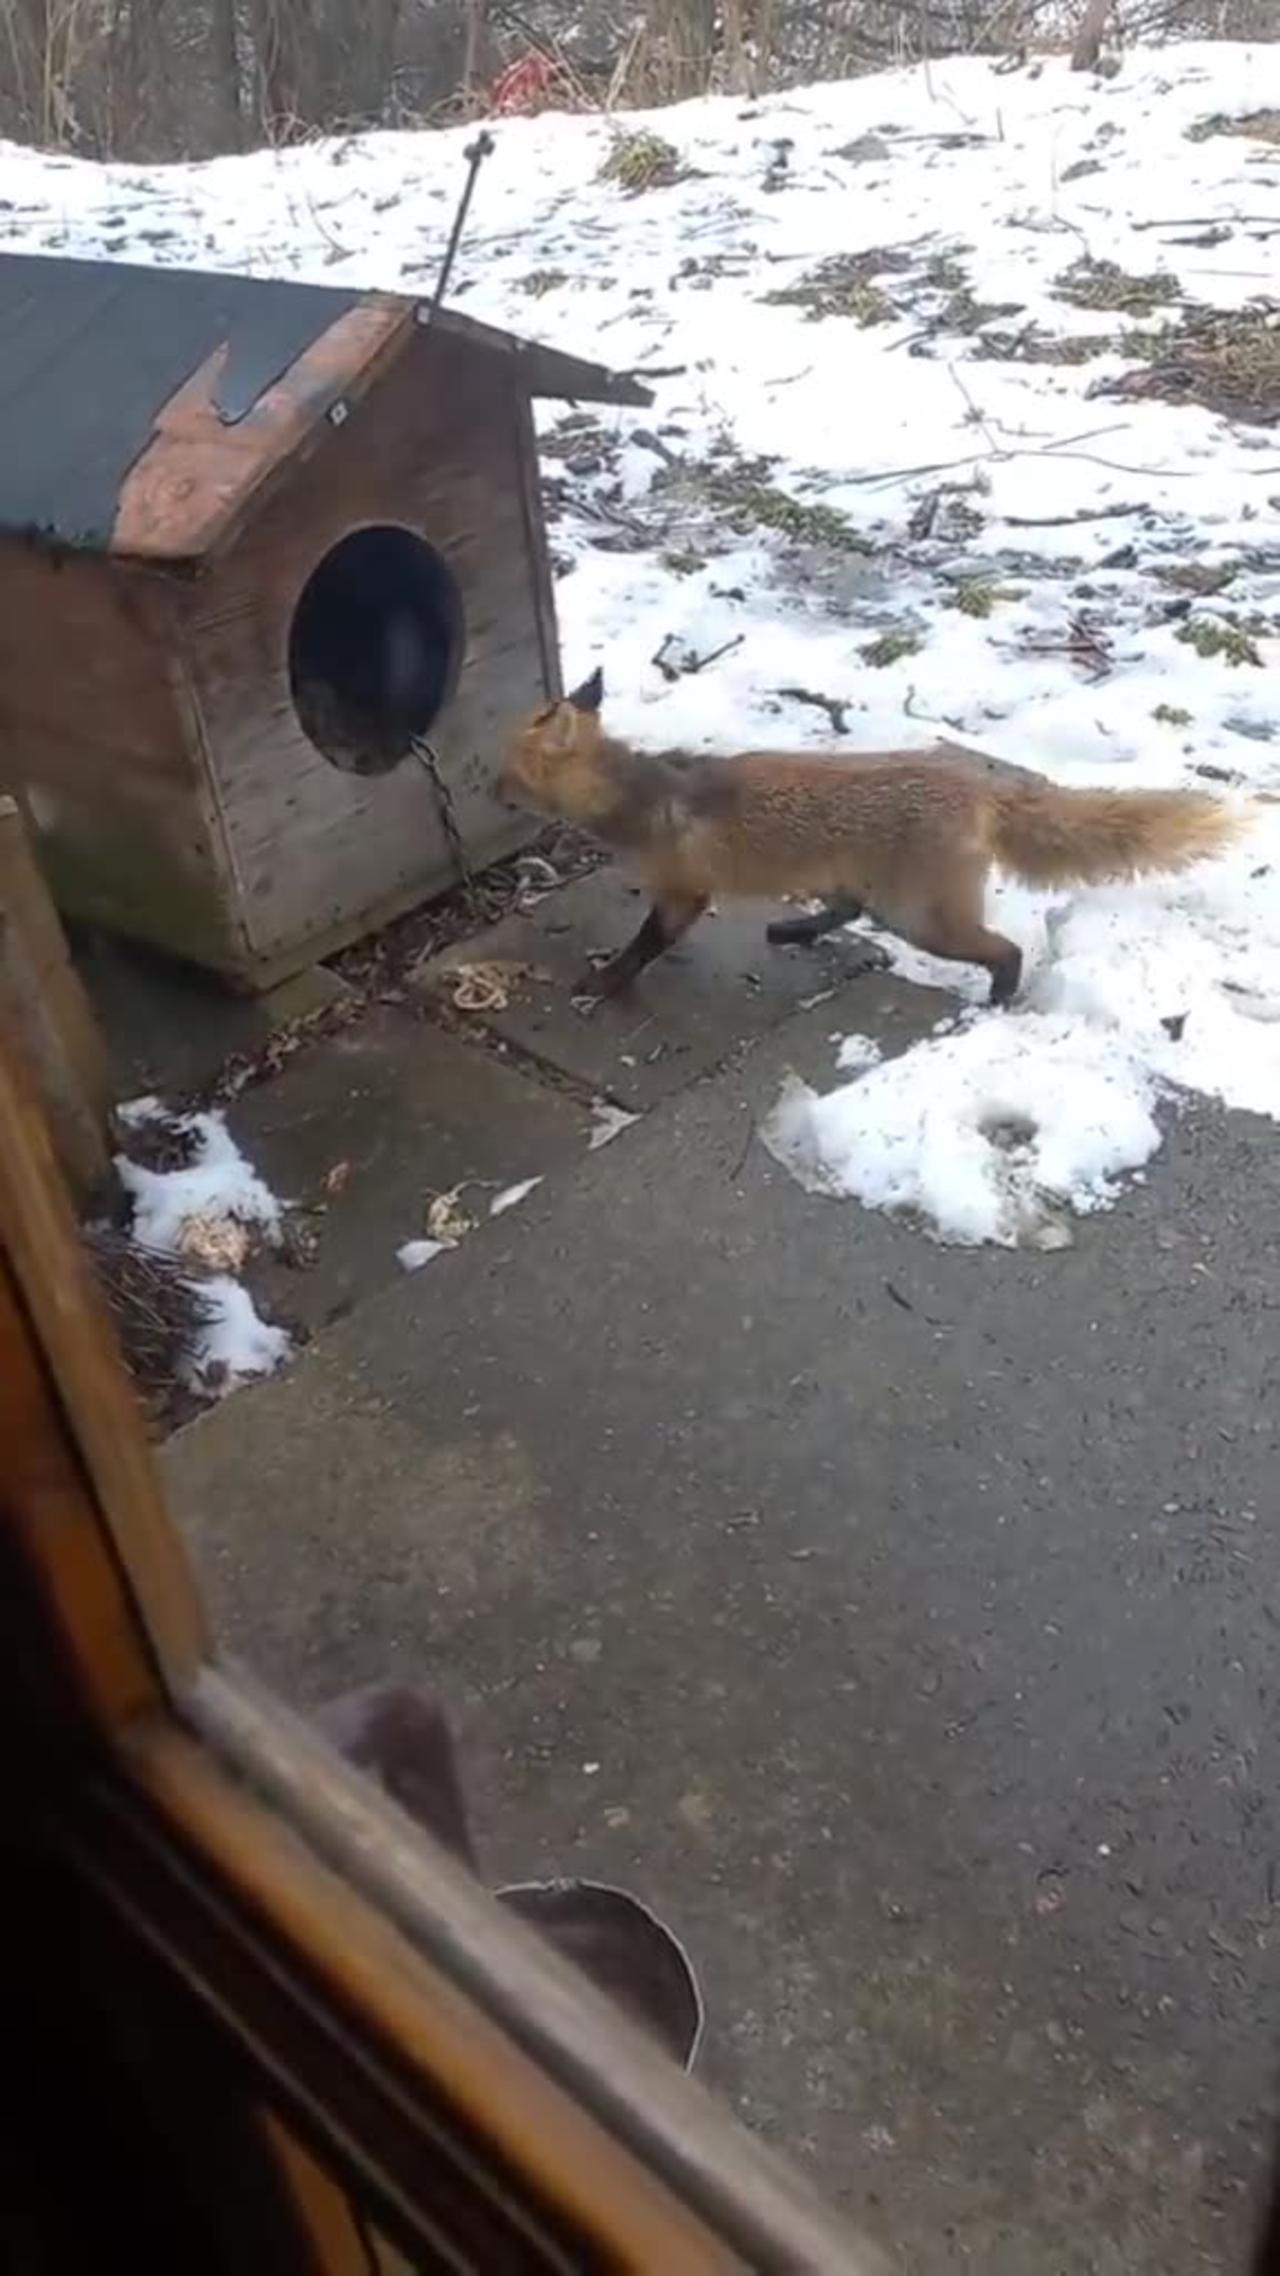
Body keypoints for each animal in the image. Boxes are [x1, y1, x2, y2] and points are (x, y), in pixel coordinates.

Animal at [500, 668, 1243, 1005]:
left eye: (505, 770)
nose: (483, 782)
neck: (644, 797)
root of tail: (975, 784)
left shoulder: (684, 891)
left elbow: (645, 945)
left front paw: (606, 981)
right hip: (879, 894)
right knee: (848, 909)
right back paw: (796, 931)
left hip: (921, 919)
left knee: (1003, 952)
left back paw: (996, 1004)